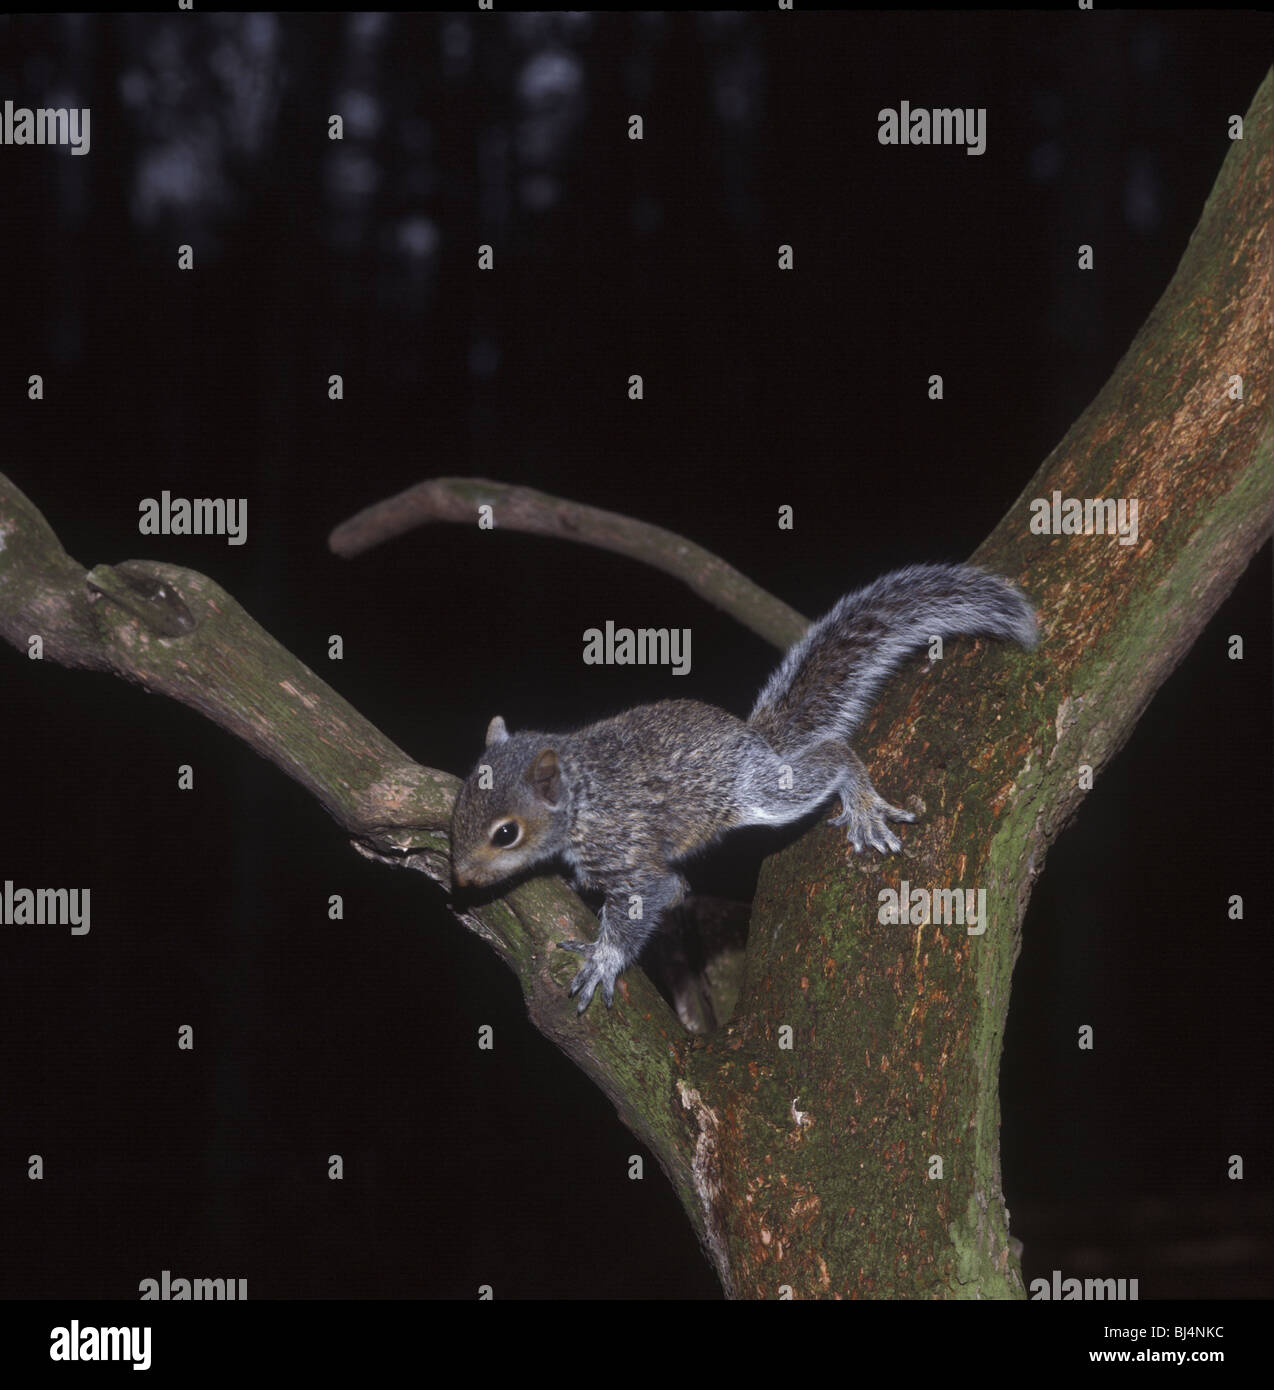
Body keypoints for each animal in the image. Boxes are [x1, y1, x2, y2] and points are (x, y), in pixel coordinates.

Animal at [450, 563, 1037, 1013]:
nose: (461, 878)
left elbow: (651, 895)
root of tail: (753, 739)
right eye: (456, 809)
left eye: (506, 834)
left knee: (830, 759)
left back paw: (860, 799)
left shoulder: (623, 849)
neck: (579, 794)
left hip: (751, 793)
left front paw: (603, 961)